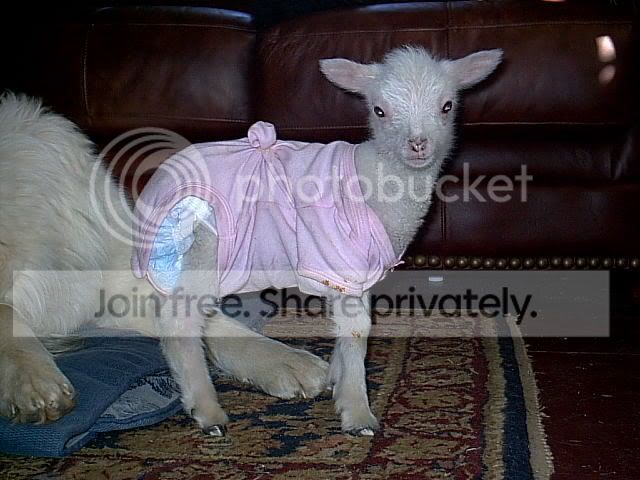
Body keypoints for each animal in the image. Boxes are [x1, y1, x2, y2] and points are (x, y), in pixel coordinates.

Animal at [0, 45, 502, 437]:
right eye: (379, 110)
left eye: (447, 105)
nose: (418, 145)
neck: (374, 179)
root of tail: (155, 190)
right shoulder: (340, 264)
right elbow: (359, 334)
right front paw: (358, 412)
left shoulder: (349, 276)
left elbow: (348, 337)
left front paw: (340, 384)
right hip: (204, 250)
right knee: (179, 323)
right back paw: (207, 411)